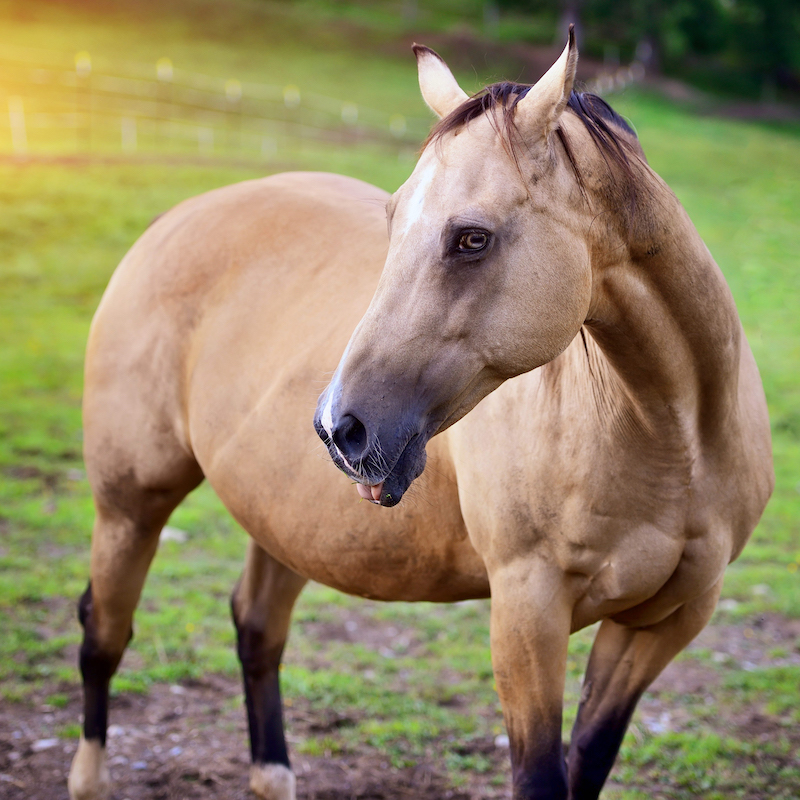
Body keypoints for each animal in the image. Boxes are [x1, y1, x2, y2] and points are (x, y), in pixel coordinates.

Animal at [68, 30, 773, 800]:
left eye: (472, 238)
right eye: (393, 219)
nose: (340, 428)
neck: (674, 438)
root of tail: (179, 216)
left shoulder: (663, 624)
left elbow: (586, 763)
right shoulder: (527, 614)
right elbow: (540, 776)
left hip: (283, 519)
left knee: (256, 629)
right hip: (131, 503)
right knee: (104, 632)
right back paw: (89, 777)